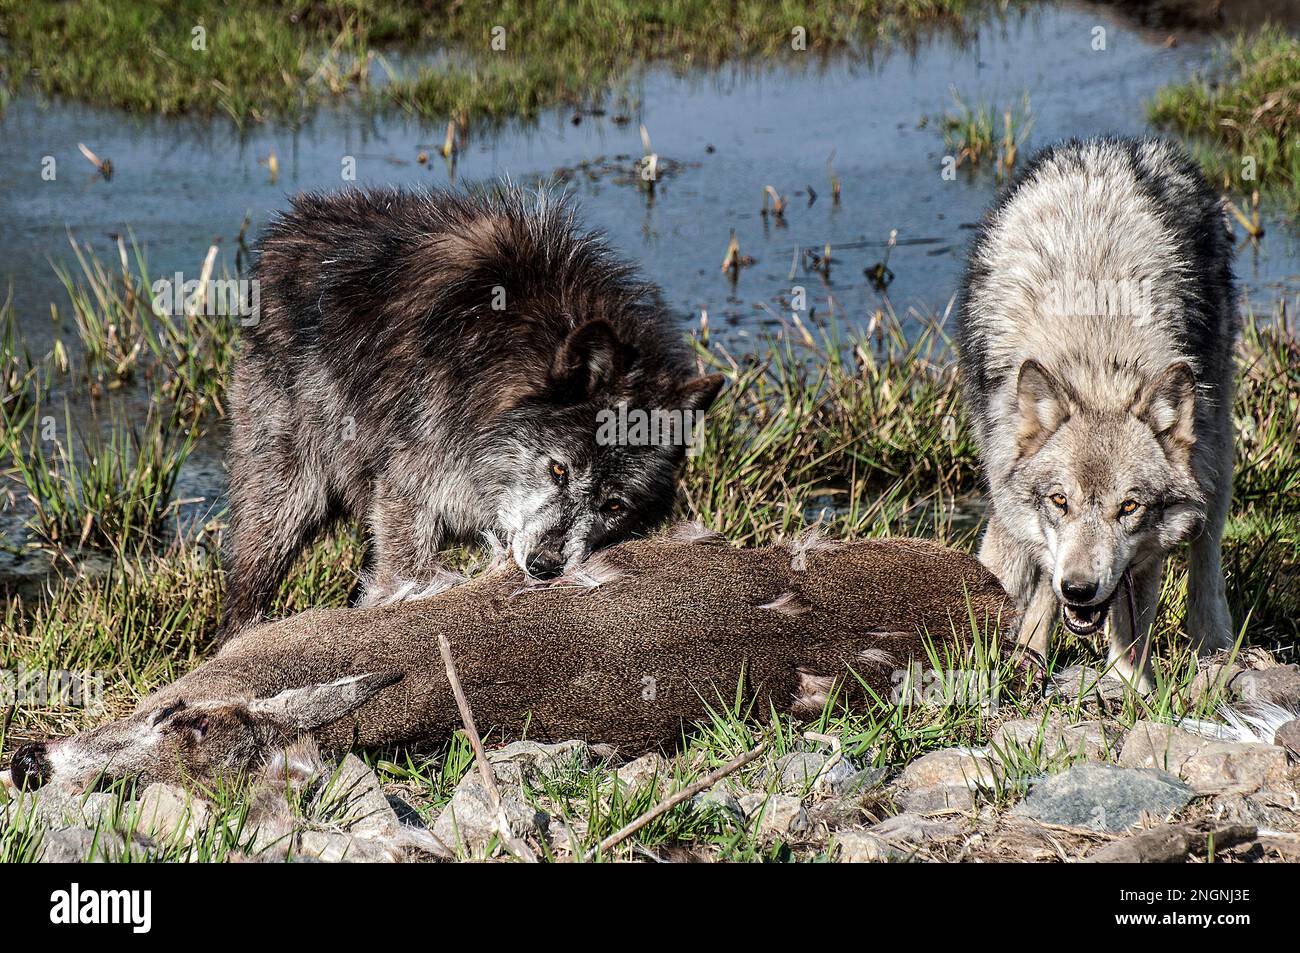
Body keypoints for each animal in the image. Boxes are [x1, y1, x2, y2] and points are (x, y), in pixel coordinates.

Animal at [222, 186, 723, 637]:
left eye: (615, 505)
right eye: (558, 470)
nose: (545, 565)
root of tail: (291, 226)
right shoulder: (407, 499)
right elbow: (403, 582)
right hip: (284, 503)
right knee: (244, 598)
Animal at [956, 137, 1238, 689]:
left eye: (1128, 507)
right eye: (1059, 501)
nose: (1080, 589)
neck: (1096, 358)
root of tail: (1115, 144)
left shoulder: (1143, 554)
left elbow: (1130, 630)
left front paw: (1135, 689)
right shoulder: (1006, 498)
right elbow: (1007, 582)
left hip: (1214, 447)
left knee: (1207, 549)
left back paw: (1213, 641)